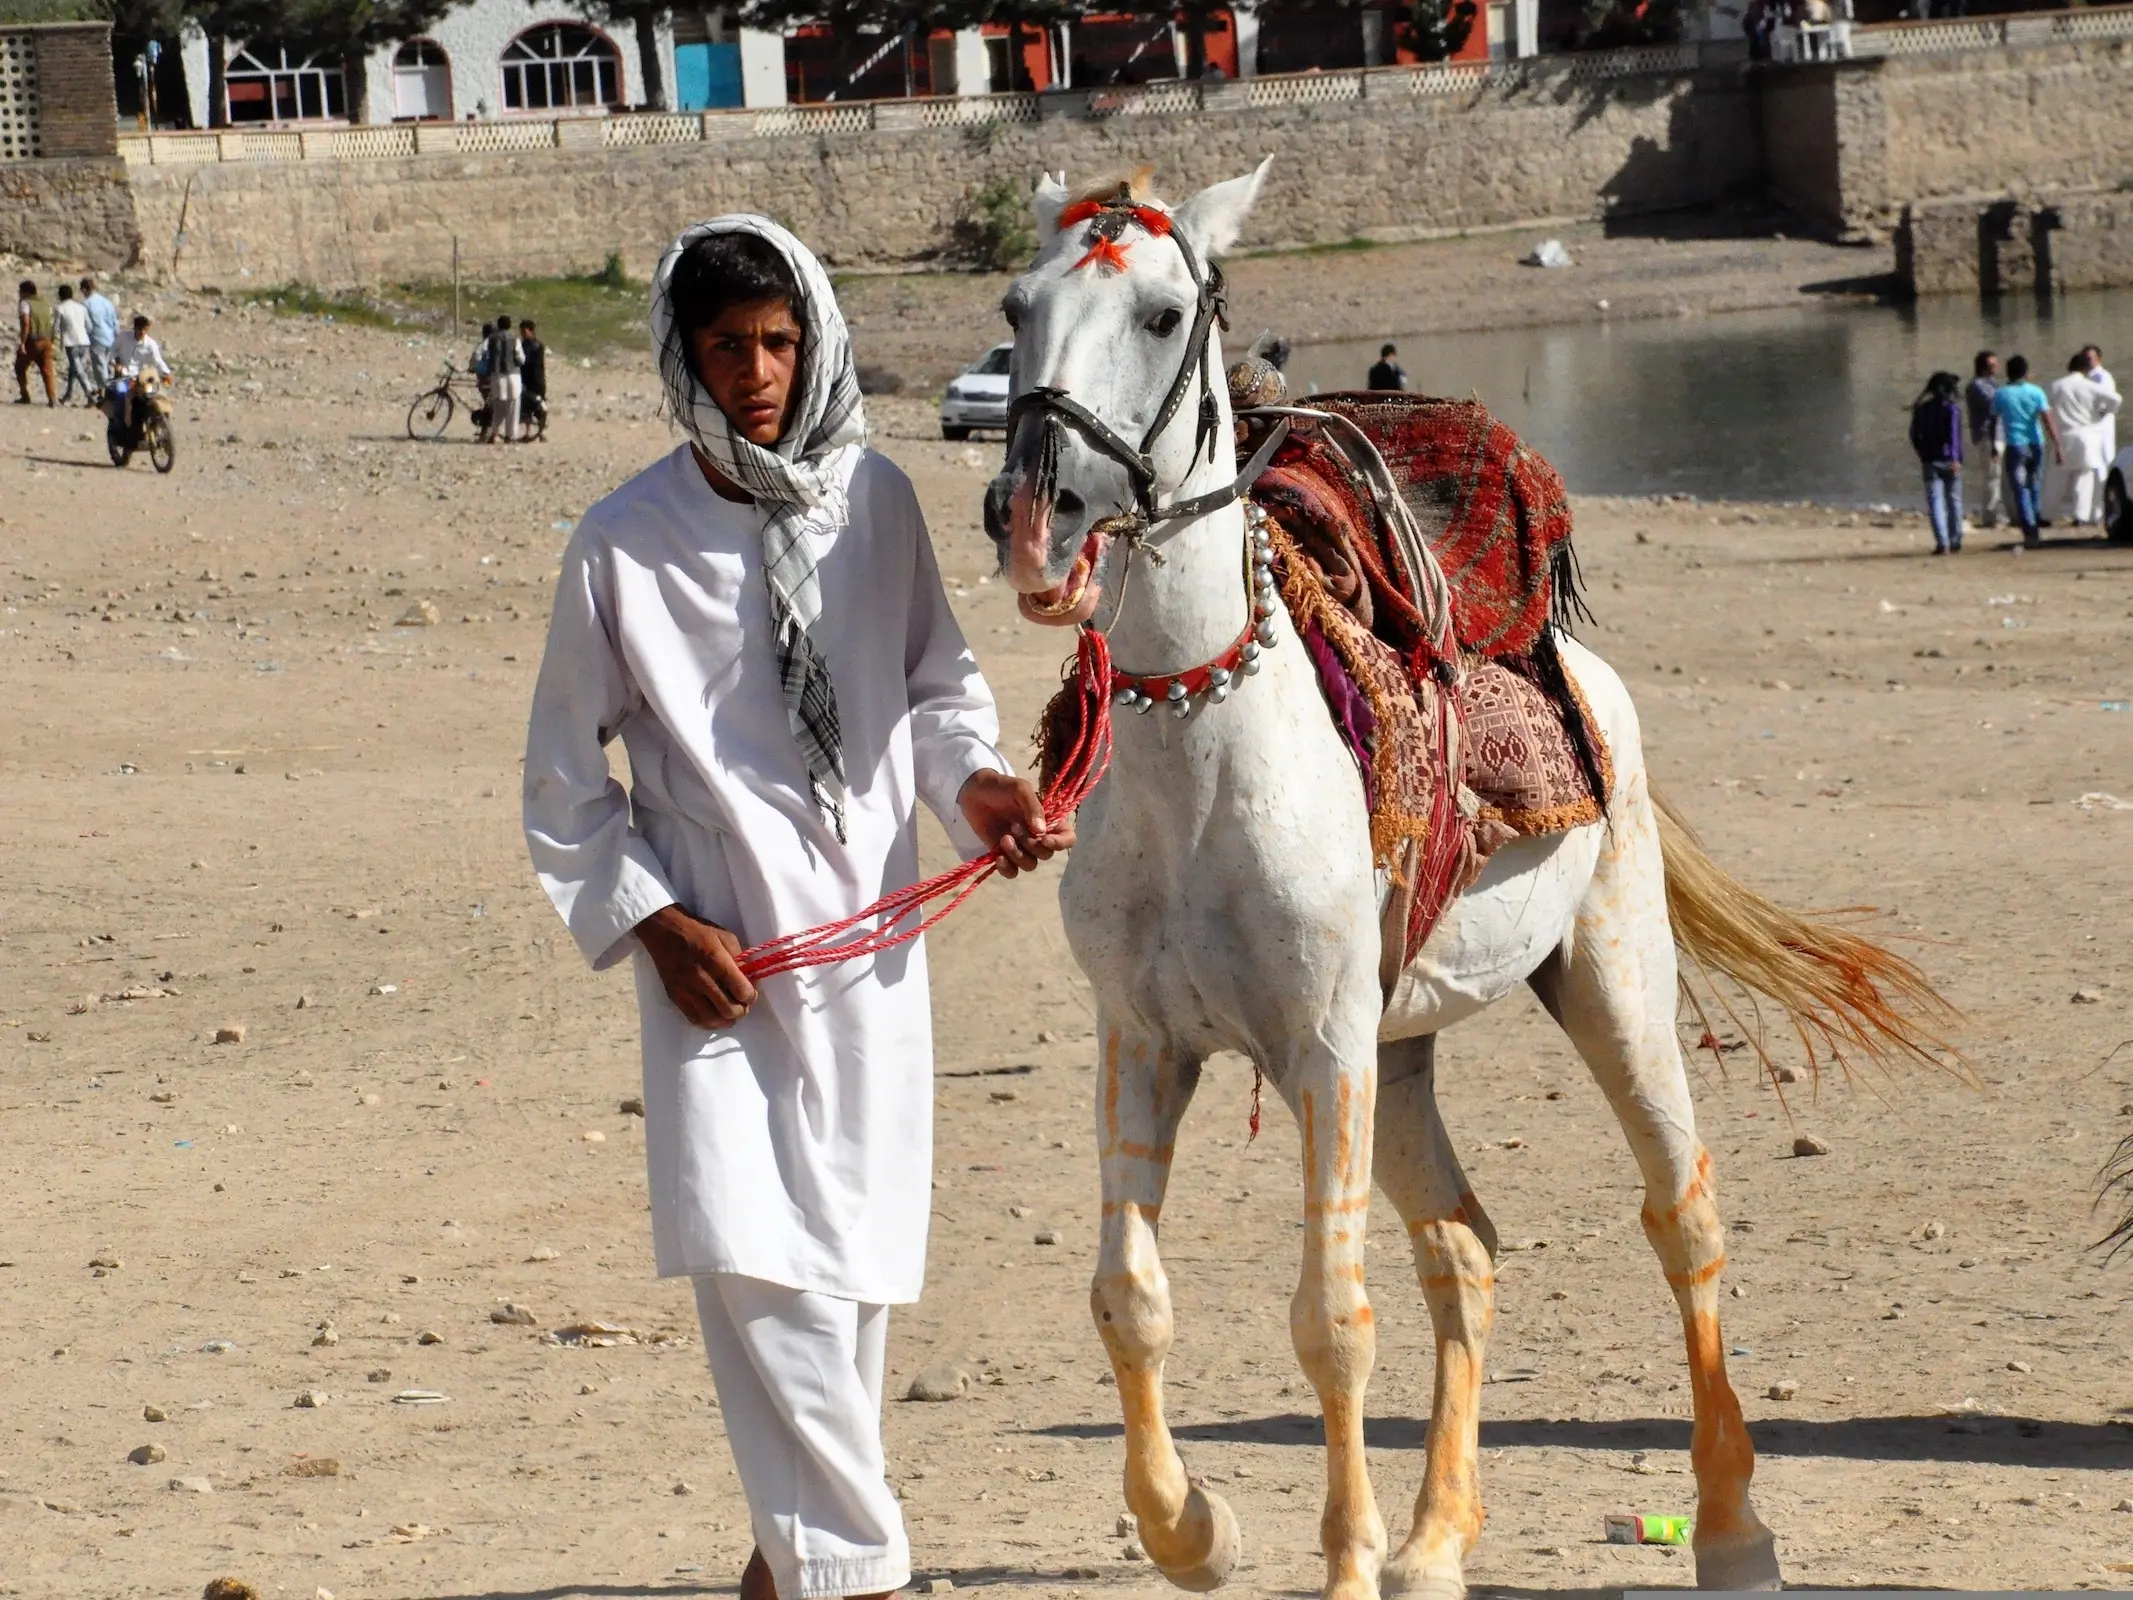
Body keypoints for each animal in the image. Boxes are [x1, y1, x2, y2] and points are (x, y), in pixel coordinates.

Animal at [980, 160, 1954, 1600]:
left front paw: (1334, 1563)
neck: (1203, 755)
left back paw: (1733, 1533)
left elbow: (1331, 1320)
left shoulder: (1320, 1048)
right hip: (1400, 1058)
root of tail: (1586, 674)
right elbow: (1128, 1297)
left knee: (1682, 1216)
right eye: (1015, 304)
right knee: (1466, 1250)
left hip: (1608, 987)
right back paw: (1435, 1542)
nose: (1032, 518)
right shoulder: (1149, 1042)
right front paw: (1193, 1530)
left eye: (1160, 313)